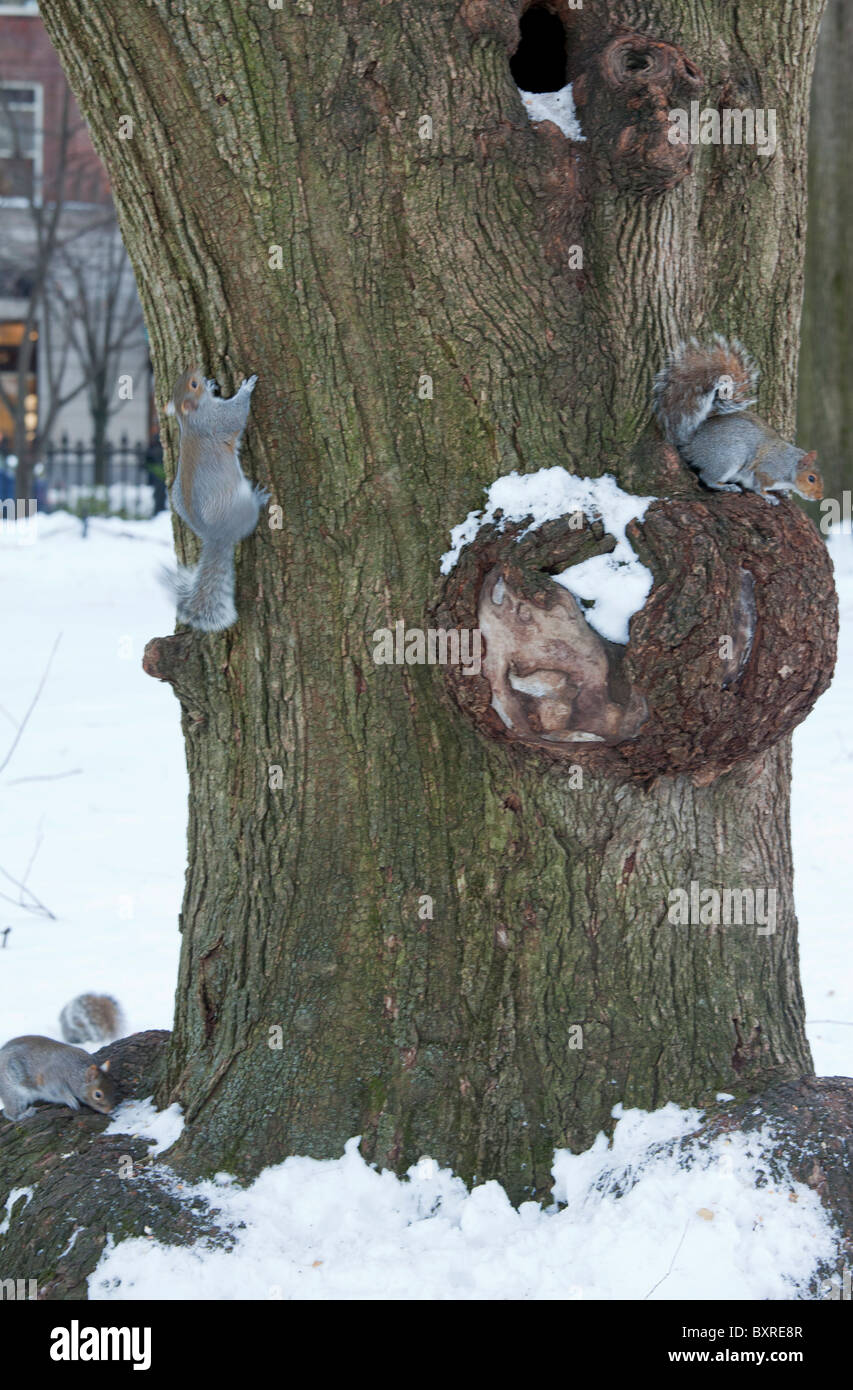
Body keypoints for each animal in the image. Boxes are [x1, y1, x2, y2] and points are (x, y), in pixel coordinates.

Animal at [160, 368, 269, 631]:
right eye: (193, 384)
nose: (196, 371)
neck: (190, 418)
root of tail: (216, 535)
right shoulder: (218, 420)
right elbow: (236, 415)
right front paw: (246, 387)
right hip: (239, 506)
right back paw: (259, 499)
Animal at [653, 337, 823, 504]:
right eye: (811, 478)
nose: (819, 497)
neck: (789, 466)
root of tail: (691, 442)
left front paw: (783, 492)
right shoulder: (766, 470)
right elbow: (758, 485)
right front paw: (768, 496)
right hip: (729, 457)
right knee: (707, 477)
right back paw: (727, 486)